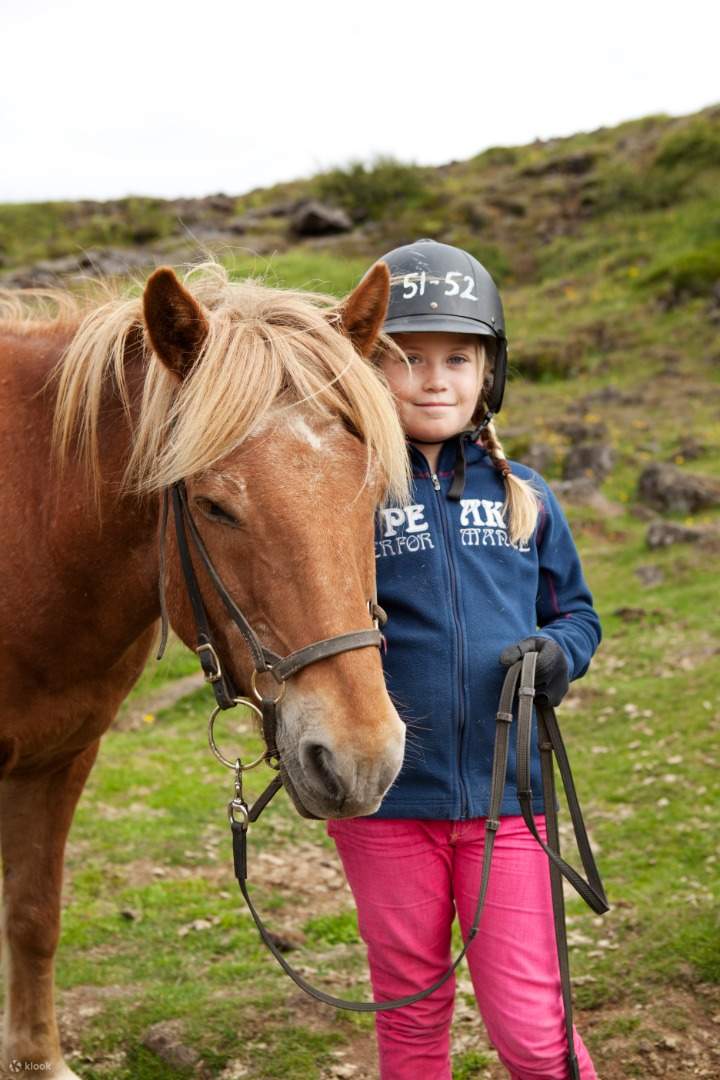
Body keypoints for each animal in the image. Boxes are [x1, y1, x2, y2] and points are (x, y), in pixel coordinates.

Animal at [0, 259, 411, 1078]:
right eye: (215, 507)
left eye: (376, 494)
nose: (362, 759)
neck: (26, 521)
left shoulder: (61, 755)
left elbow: (32, 915)